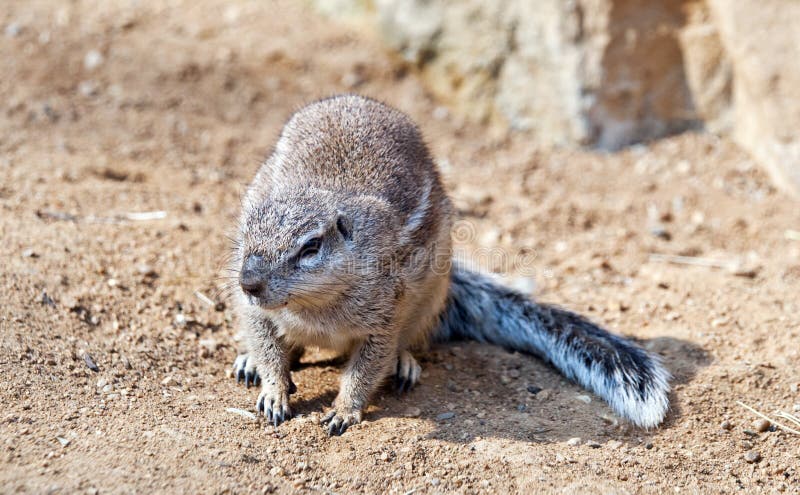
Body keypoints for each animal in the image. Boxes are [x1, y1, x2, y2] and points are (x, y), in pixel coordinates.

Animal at [231, 94, 670, 436]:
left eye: (311, 246)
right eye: (246, 228)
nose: (249, 283)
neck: (312, 307)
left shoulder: (385, 314)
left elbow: (367, 367)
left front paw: (344, 410)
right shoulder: (255, 311)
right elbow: (266, 343)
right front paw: (273, 389)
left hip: (430, 297)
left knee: (409, 341)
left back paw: (405, 363)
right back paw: (249, 362)